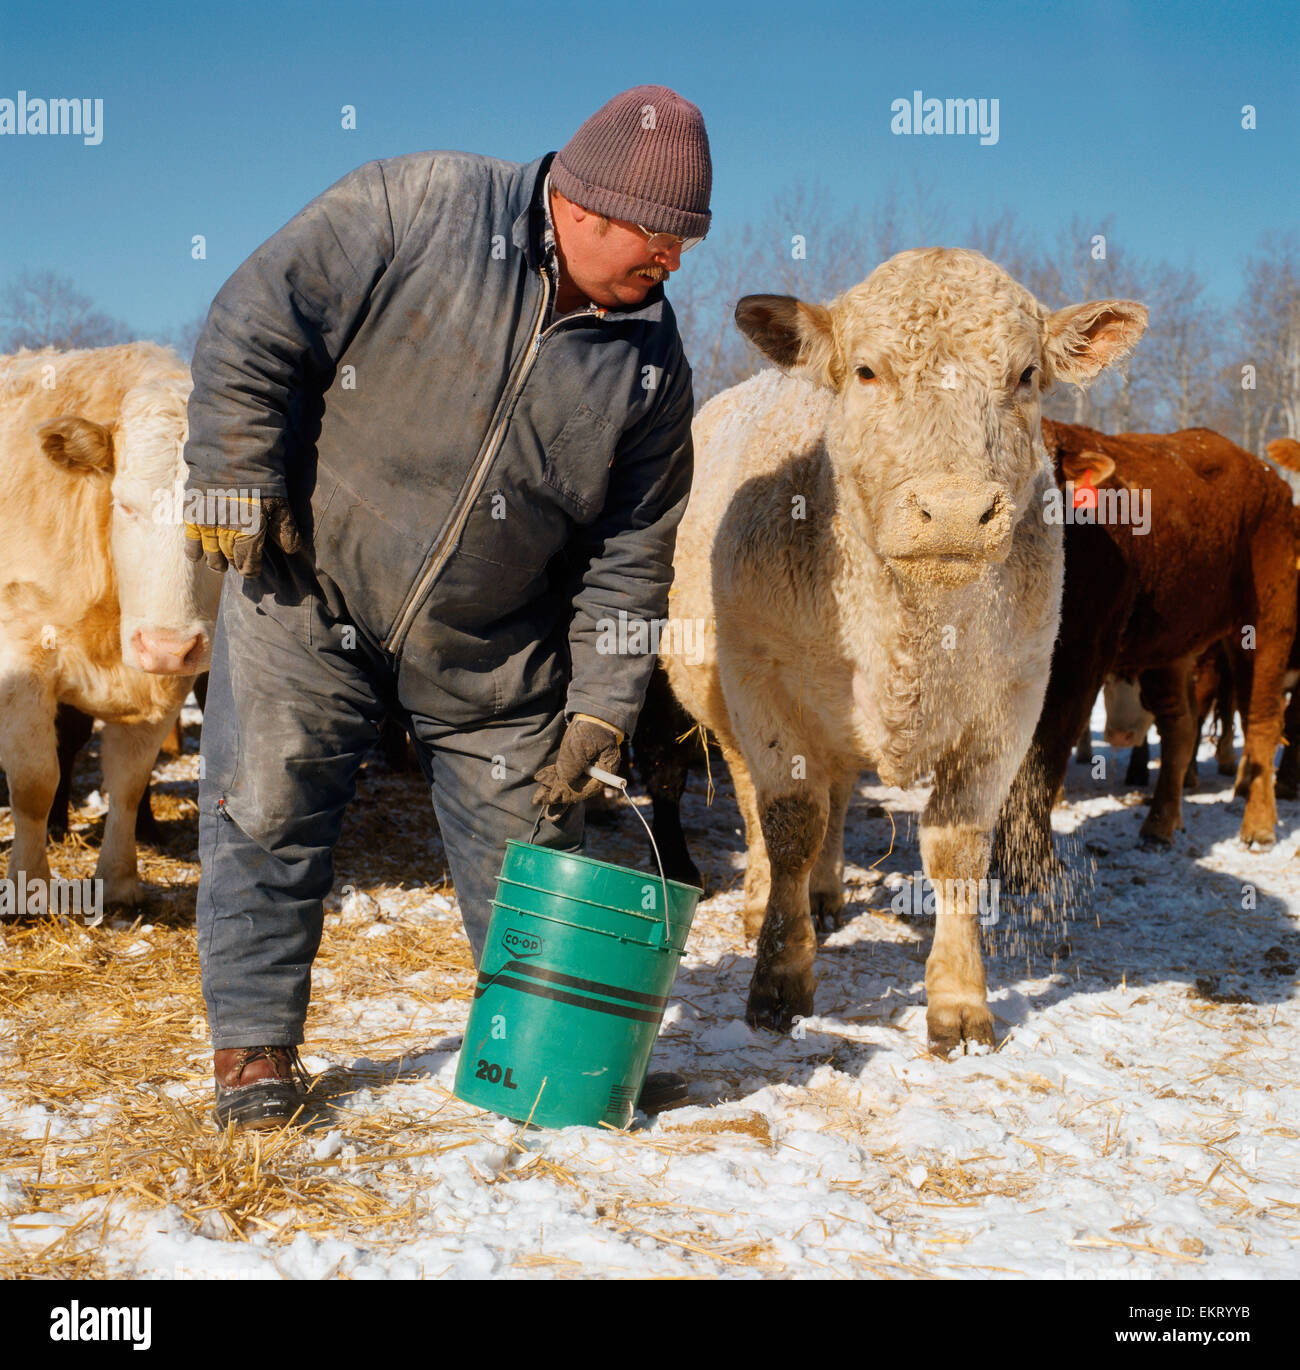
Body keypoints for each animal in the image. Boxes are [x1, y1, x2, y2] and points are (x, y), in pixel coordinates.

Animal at [0, 343, 220, 907]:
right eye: (124, 504)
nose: (166, 646)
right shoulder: (21, 654)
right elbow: (34, 780)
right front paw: (28, 888)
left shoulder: (167, 681)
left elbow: (128, 781)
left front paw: (120, 882)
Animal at [661, 248, 1146, 1050]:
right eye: (865, 371)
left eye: (1025, 376)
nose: (952, 511)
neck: (907, 634)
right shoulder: (762, 682)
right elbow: (788, 823)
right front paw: (779, 980)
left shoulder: (1010, 704)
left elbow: (957, 847)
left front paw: (960, 1000)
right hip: (715, 690)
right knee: (758, 800)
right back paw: (766, 902)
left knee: (836, 790)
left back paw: (824, 895)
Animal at [994, 421, 1298, 886]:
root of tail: (1267, 475)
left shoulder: (1081, 660)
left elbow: (1043, 756)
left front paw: (1028, 866)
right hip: (1170, 648)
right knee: (1181, 727)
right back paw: (1160, 824)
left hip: (1267, 623)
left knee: (1262, 720)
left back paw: (1258, 825)